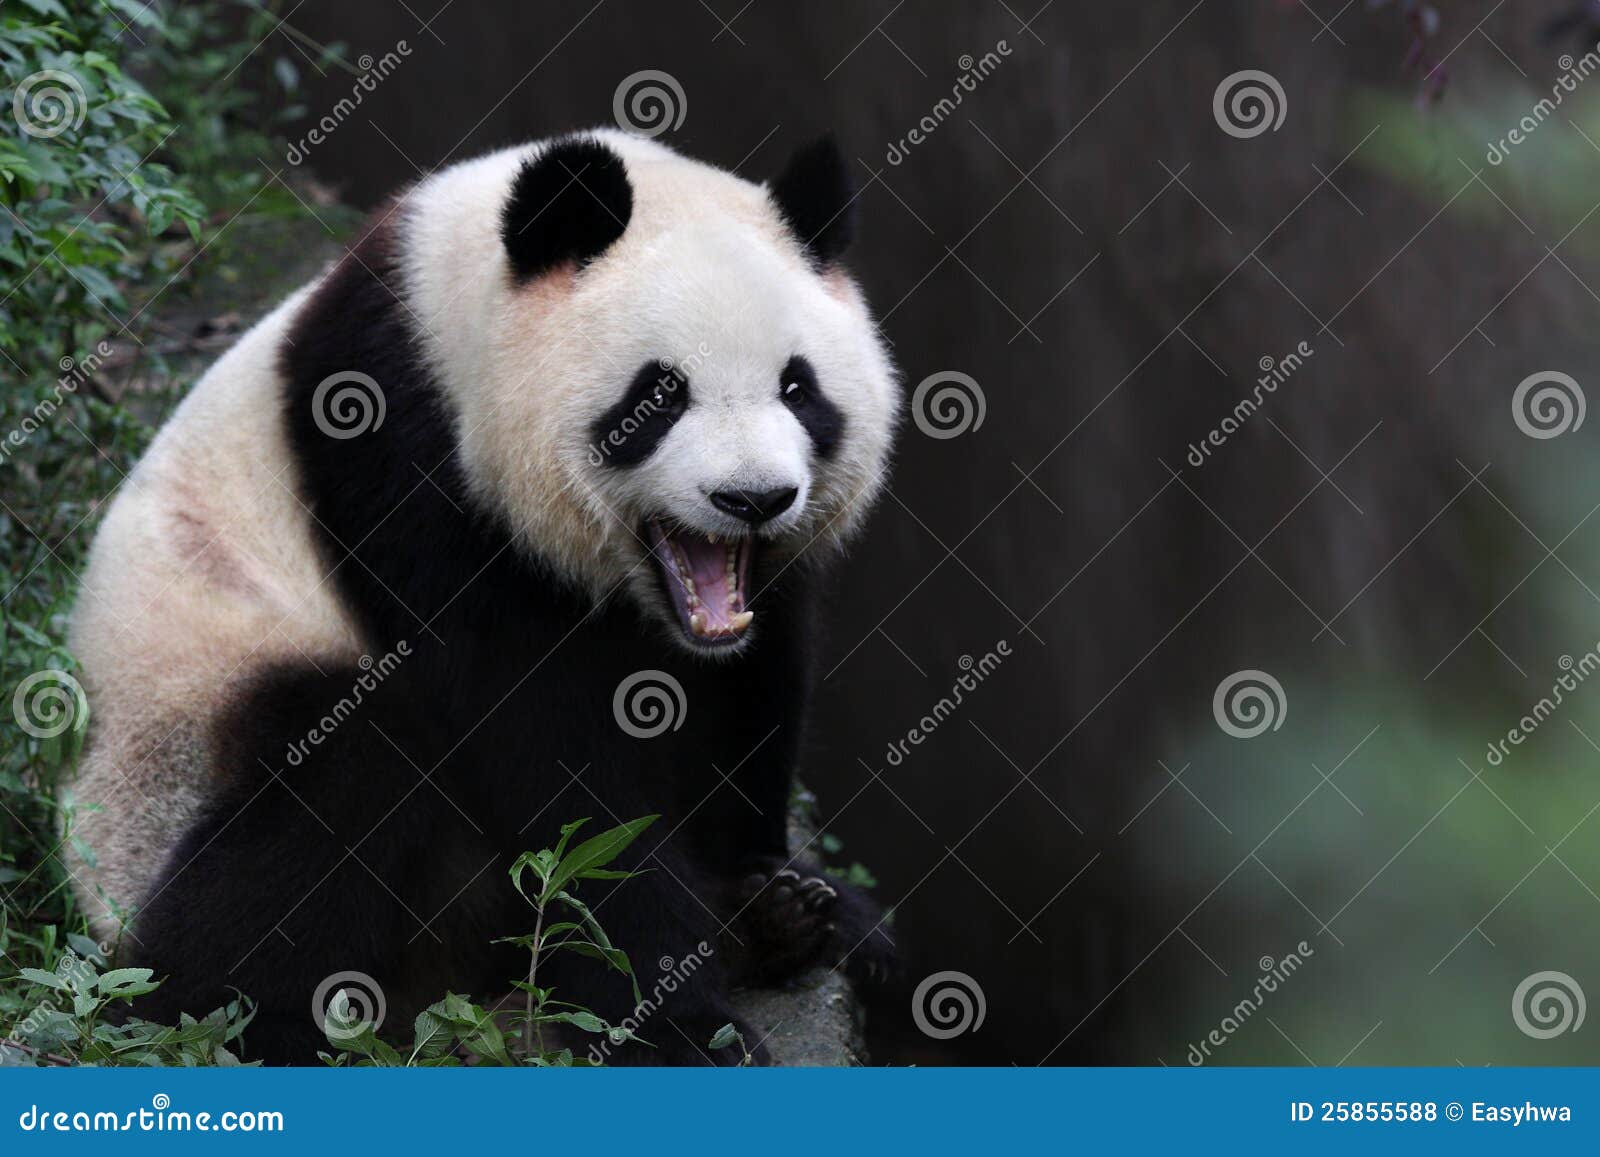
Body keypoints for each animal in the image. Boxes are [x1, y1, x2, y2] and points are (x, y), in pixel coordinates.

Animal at [62, 129, 901, 1064]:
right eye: (661, 392)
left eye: (798, 387)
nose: (753, 497)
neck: (446, 309)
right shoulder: (408, 457)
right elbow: (543, 741)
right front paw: (683, 1021)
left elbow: (751, 687)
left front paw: (777, 896)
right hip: (174, 744)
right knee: (334, 780)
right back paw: (235, 1017)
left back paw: (785, 922)